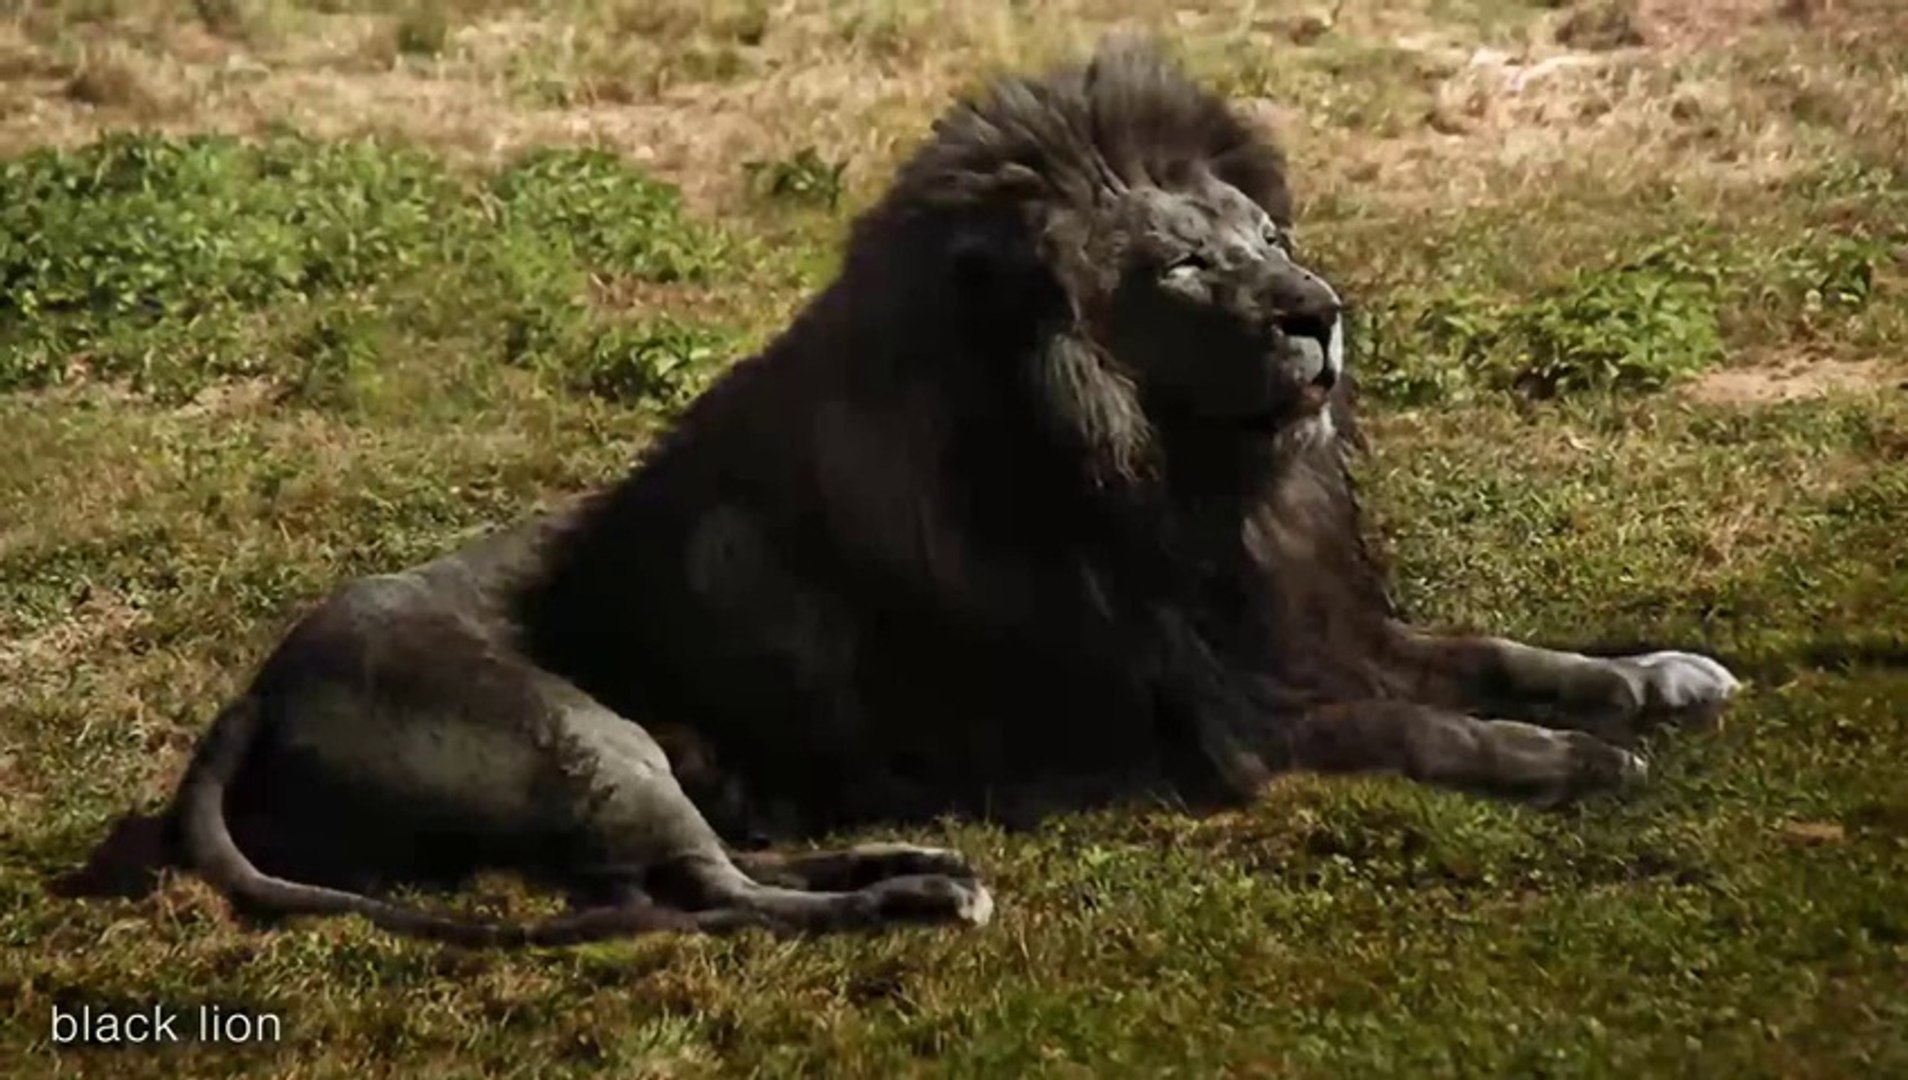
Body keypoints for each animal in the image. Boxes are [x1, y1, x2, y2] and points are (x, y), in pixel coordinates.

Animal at [112, 36, 1738, 946]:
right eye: (1186, 267)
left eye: (1266, 234)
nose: (1319, 313)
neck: (1196, 480)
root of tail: (254, 686)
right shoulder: (1215, 720)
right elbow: (1420, 725)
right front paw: (1576, 759)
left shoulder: (1307, 620)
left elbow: (1494, 650)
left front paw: (1658, 675)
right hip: (575, 735)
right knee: (706, 896)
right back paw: (922, 896)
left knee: (694, 874)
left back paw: (913, 855)